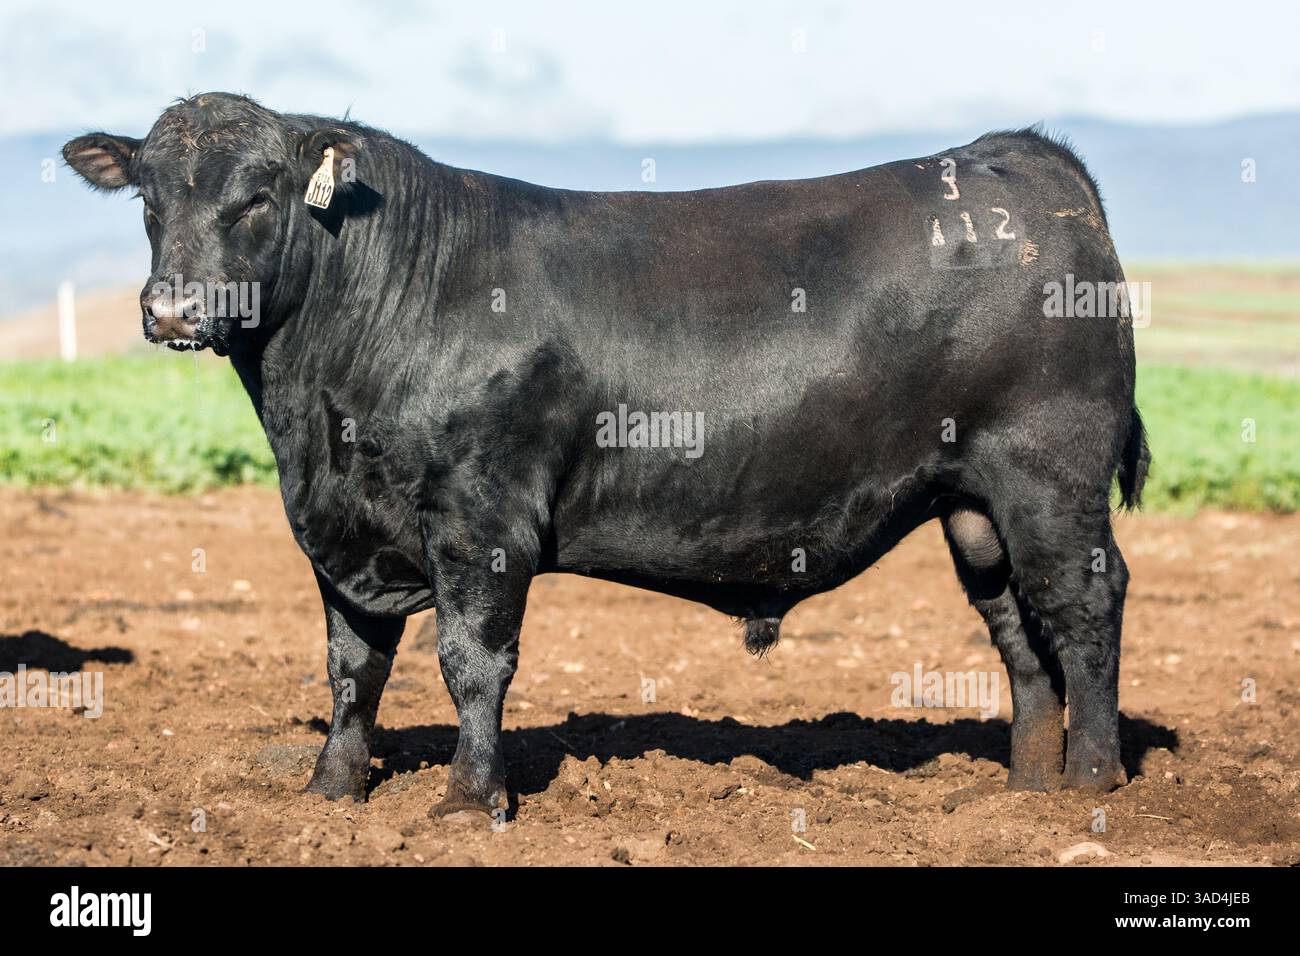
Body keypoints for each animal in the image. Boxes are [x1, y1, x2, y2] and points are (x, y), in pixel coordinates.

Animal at [64, 93, 1148, 820]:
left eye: (257, 194)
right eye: (149, 197)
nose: (172, 308)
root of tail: (1011, 156)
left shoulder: (483, 515)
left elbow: (470, 660)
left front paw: (468, 805)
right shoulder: (343, 533)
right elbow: (350, 667)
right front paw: (330, 793)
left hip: (1049, 473)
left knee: (1082, 601)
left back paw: (1090, 783)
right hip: (972, 504)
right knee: (1016, 626)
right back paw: (1022, 787)